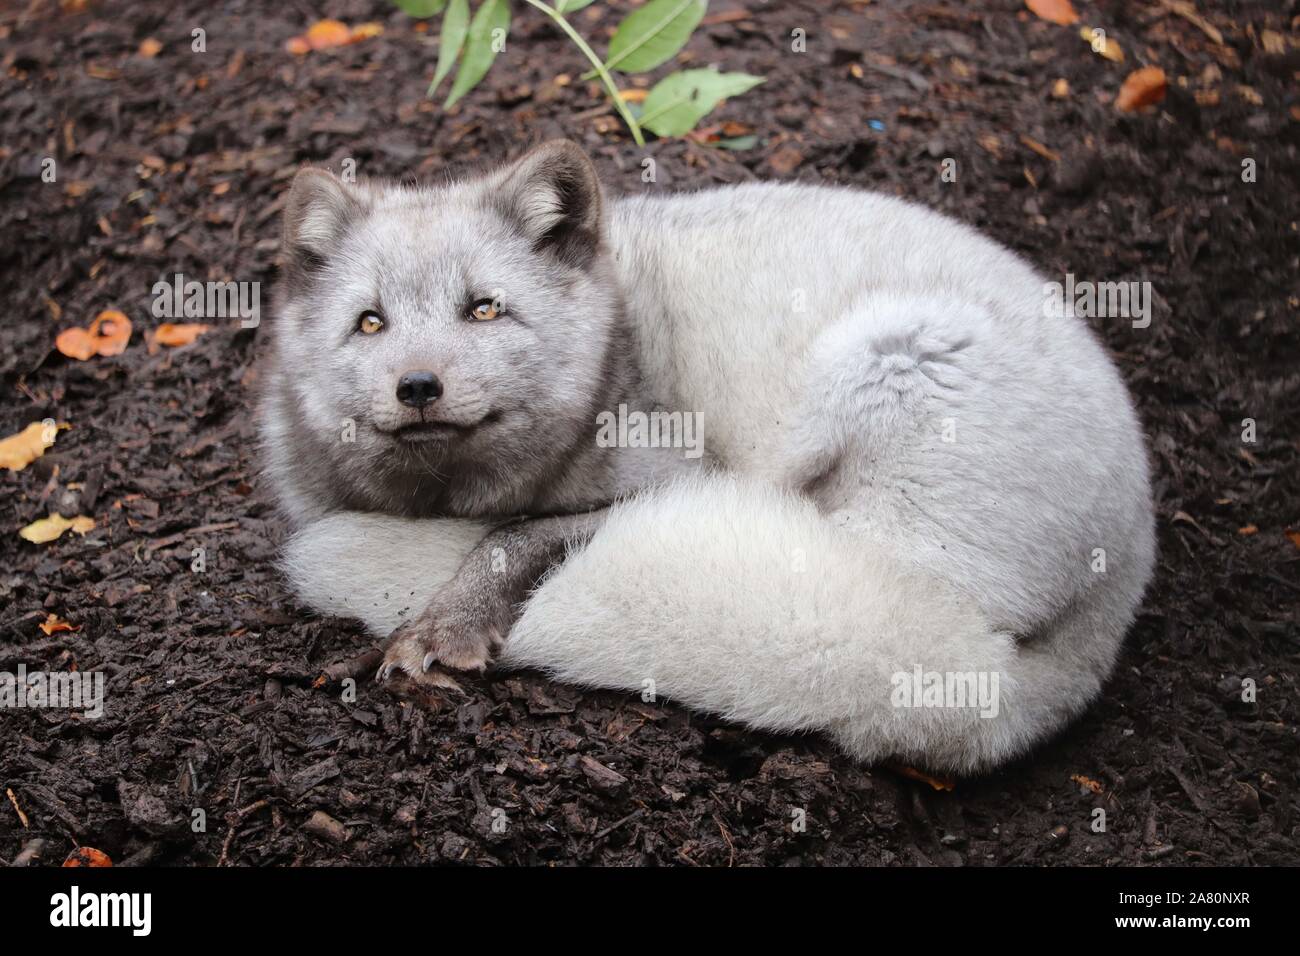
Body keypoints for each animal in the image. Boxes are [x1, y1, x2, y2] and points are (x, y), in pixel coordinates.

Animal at [260, 139, 1155, 773]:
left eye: (484, 309)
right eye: (370, 322)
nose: (417, 386)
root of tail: (1130, 565)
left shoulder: (682, 474)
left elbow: (516, 532)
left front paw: (448, 619)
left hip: (884, 362)